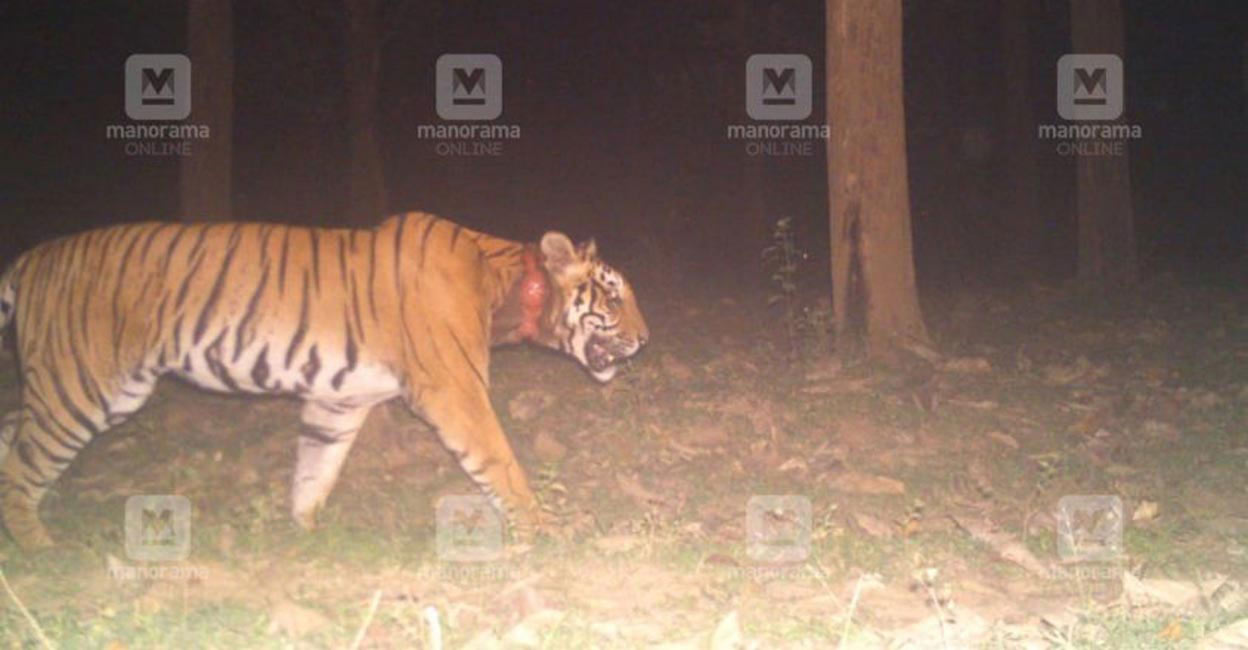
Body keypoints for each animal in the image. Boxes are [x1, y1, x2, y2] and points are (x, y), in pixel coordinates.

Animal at [0, 212, 648, 549]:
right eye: (614, 294)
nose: (646, 339)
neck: (510, 288)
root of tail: (31, 259)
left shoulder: (338, 401)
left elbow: (315, 469)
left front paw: (305, 534)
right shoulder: (455, 390)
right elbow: (501, 462)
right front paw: (541, 527)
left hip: (95, 389)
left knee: (12, 432)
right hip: (80, 386)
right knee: (23, 464)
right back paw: (38, 549)